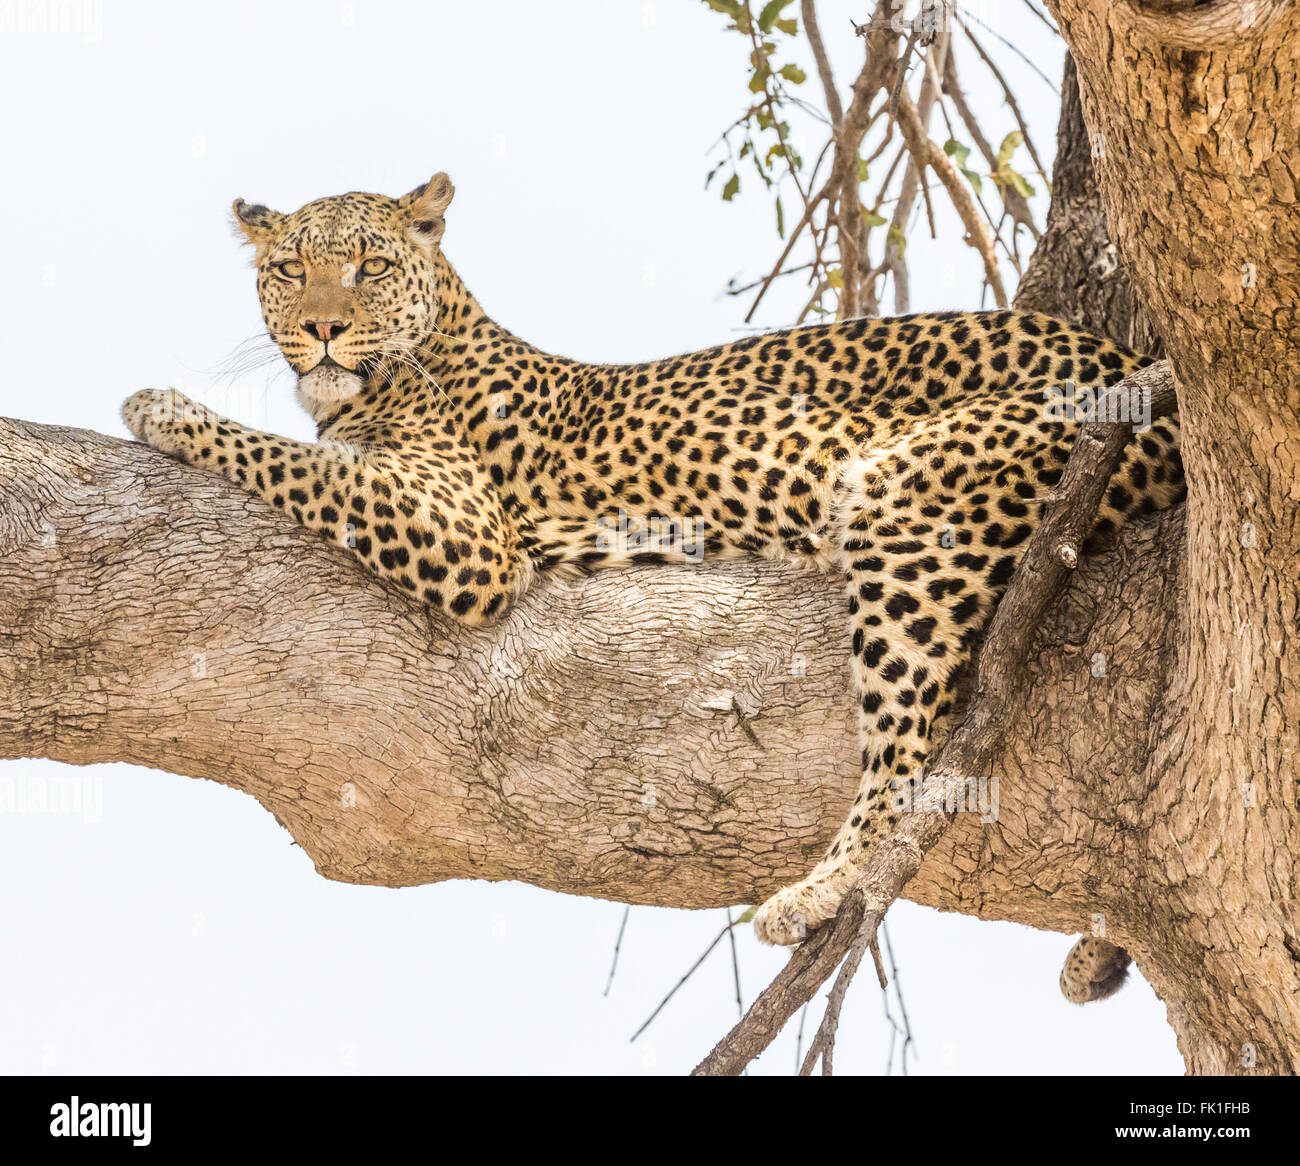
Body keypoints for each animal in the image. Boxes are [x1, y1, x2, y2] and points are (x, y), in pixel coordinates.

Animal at [122, 171, 1184, 960]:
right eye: (289, 270)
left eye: (368, 265)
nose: (323, 330)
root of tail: (1138, 375)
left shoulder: (466, 531)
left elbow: (300, 461)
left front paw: (161, 407)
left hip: (901, 492)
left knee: (911, 756)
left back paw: (817, 892)